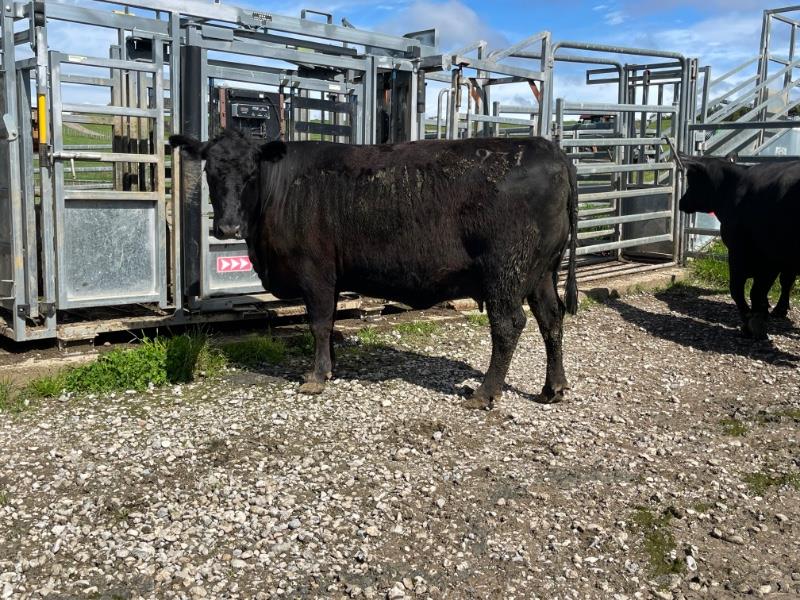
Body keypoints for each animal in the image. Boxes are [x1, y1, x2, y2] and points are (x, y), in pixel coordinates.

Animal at [171, 130, 579, 408]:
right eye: (210, 171)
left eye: (250, 173)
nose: (227, 228)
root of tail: (549, 148)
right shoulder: (331, 277)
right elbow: (330, 325)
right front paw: (330, 367)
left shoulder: (314, 270)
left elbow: (319, 323)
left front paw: (315, 377)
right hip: (542, 272)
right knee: (551, 318)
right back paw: (553, 388)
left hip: (505, 272)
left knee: (509, 325)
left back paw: (484, 394)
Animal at [678, 154, 798, 338]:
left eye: (692, 181)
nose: (681, 202)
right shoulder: (772, 261)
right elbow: (762, 290)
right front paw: (761, 315)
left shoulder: (744, 254)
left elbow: (742, 290)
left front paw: (751, 321)